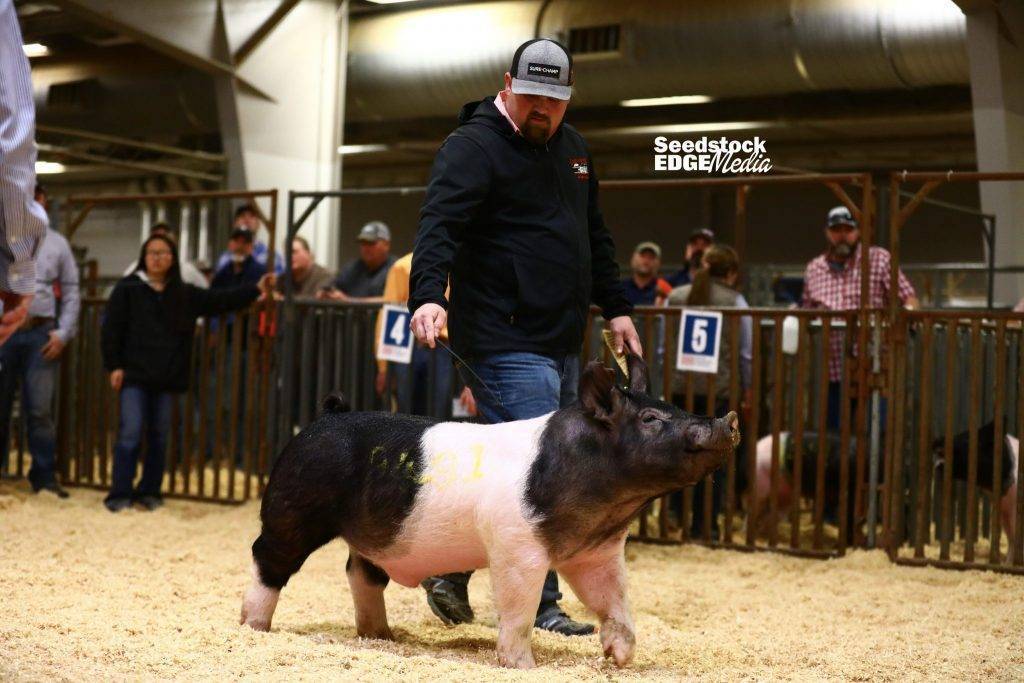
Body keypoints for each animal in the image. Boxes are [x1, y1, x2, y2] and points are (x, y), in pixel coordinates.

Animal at [240, 355, 740, 669]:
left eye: (672, 405)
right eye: (650, 420)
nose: (729, 419)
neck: (603, 508)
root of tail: (327, 416)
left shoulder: (596, 552)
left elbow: (613, 601)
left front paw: (618, 658)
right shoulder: (516, 547)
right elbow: (518, 611)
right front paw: (522, 665)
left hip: (369, 534)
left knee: (362, 573)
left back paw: (381, 636)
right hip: (293, 506)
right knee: (268, 560)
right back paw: (254, 628)